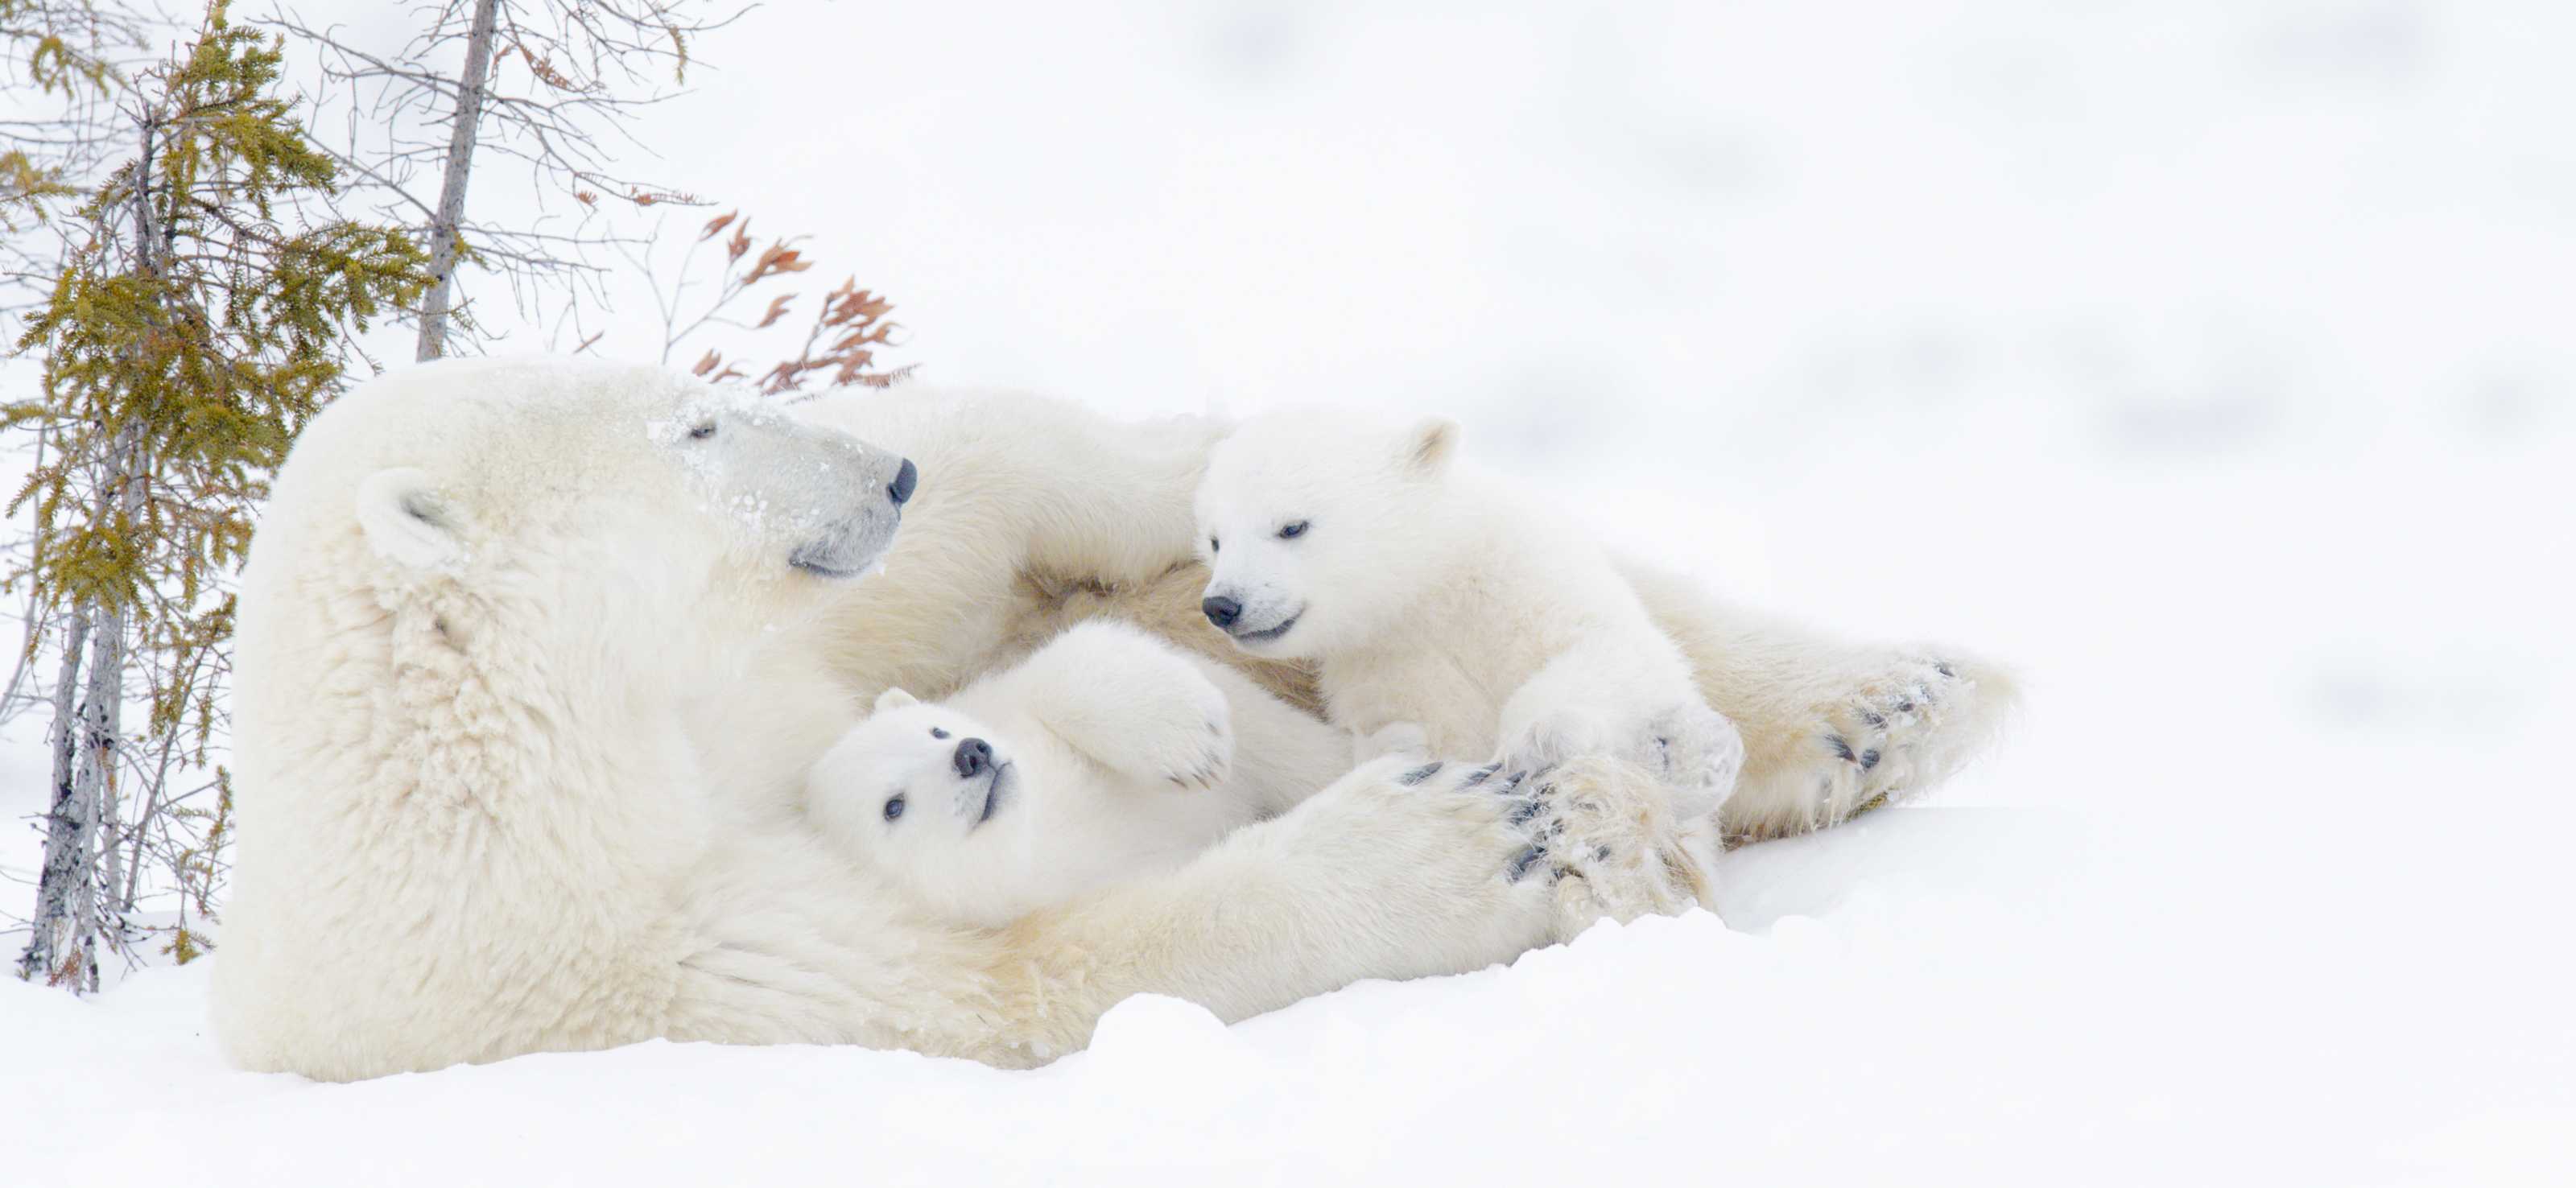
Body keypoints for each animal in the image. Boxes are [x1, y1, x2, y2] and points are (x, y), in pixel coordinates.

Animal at [807, 621, 1349, 928]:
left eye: (936, 729)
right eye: (893, 807)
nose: (971, 754)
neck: (1044, 825)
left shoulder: (1008, 702)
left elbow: (1065, 660)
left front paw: (1191, 745)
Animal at [1193, 410, 1746, 829]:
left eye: (1292, 526)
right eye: (1216, 539)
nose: (1223, 605)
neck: (1431, 588)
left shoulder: (1525, 572)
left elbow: (1614, 650)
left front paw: (1537, 741)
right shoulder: (1386, 666)